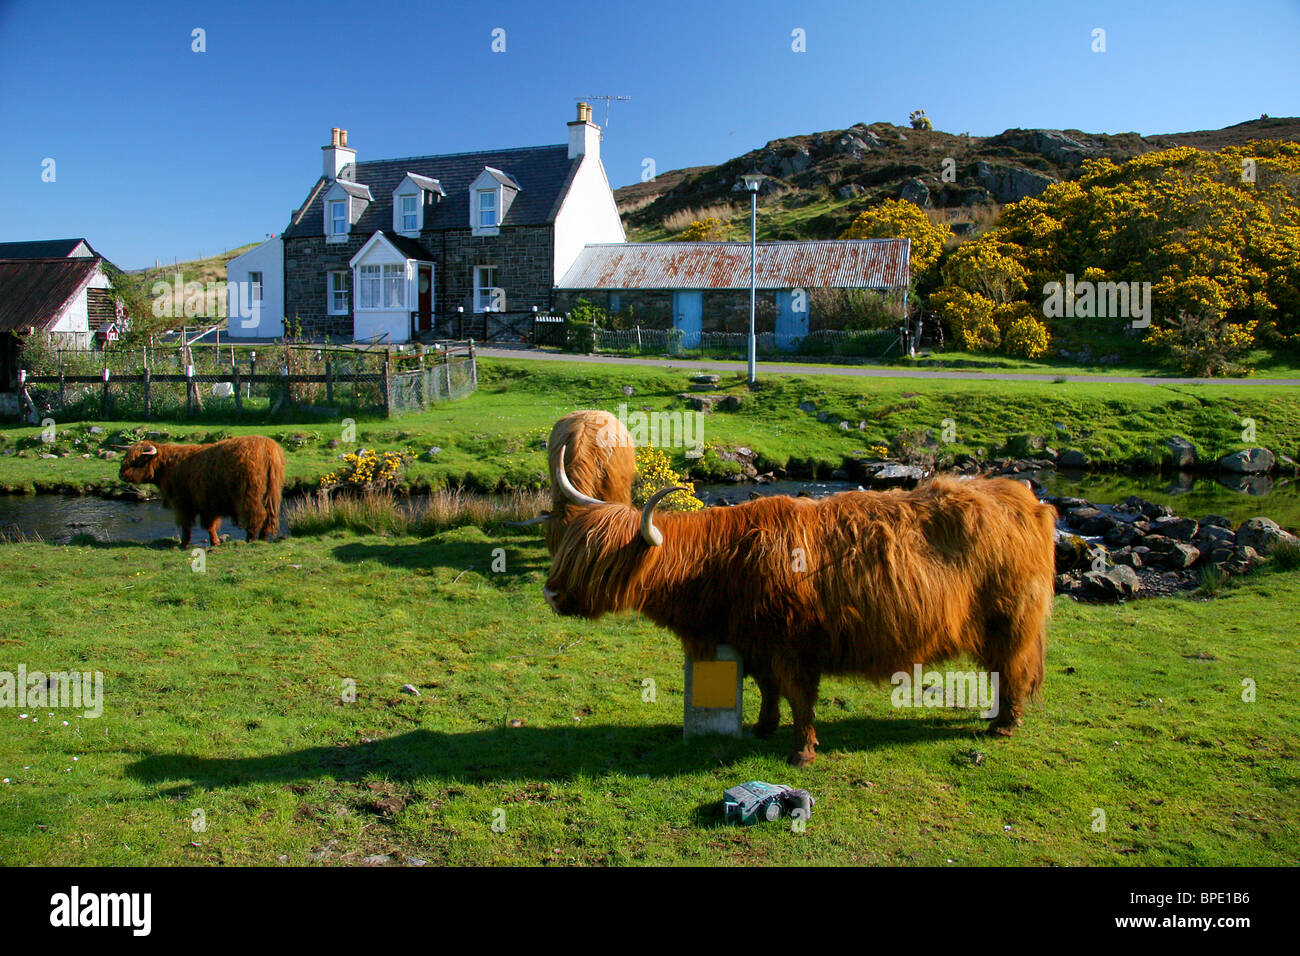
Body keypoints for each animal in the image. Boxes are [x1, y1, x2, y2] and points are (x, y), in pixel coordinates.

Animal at [118, 435, 286, 547]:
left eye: (137, 460)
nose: (121, 475)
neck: (168, 466)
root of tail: (267, 446)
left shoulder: (183, 503)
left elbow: (187, 525)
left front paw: (184, 544)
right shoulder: (208, 504)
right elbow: (210, 525)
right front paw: (215, 542)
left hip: (249, 495)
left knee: (256, 515)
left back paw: (250, 539)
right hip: (272, 494)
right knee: (269, 516)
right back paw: (263, 539)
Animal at [543, 456, 1056, 766]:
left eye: (596, 560)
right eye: (567, 549)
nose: (550, 594)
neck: (721, 562)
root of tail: (1025, 497)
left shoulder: (792, 646)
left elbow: (799, 697)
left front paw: (801, 752)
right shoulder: (755, 643)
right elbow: (768, 689)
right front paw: (764, 728)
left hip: (1010, 621)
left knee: (1012, 667)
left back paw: (1004, 726)